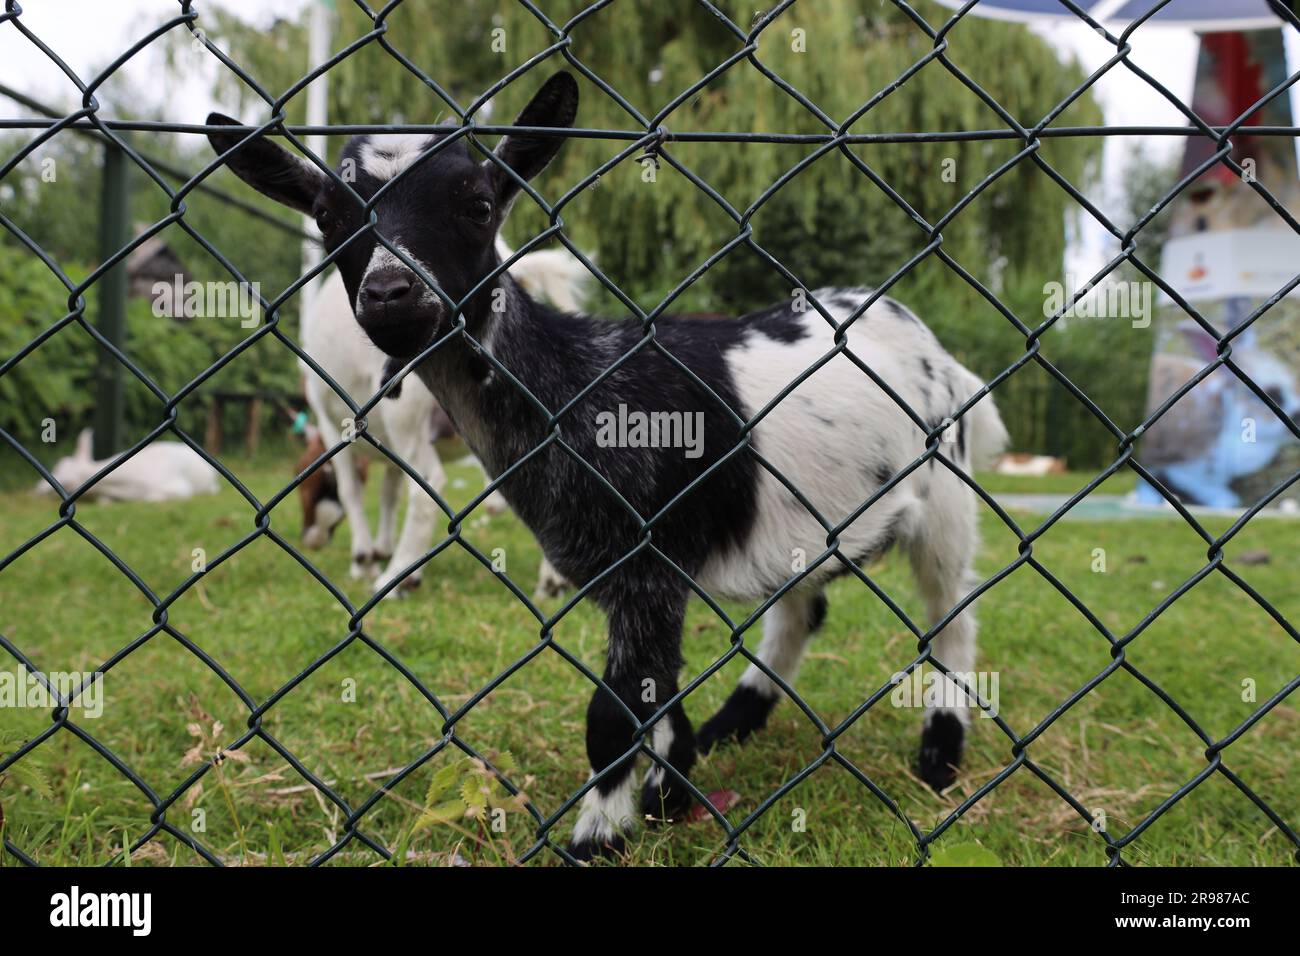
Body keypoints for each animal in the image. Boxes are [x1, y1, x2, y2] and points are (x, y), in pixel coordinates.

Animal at [207, 71, 1008, 860]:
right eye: (326, 218)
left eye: (478, 204)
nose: (389, 294)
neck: (575, 382)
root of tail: (919, 334)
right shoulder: (633, 574)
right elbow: (656, 696)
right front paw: (670, 792)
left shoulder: (649, 566)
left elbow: (613, 713)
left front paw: (599, 835)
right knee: (802, 607)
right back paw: (736, 721)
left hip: (945, 492)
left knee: (952, 613)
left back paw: (940, 752)